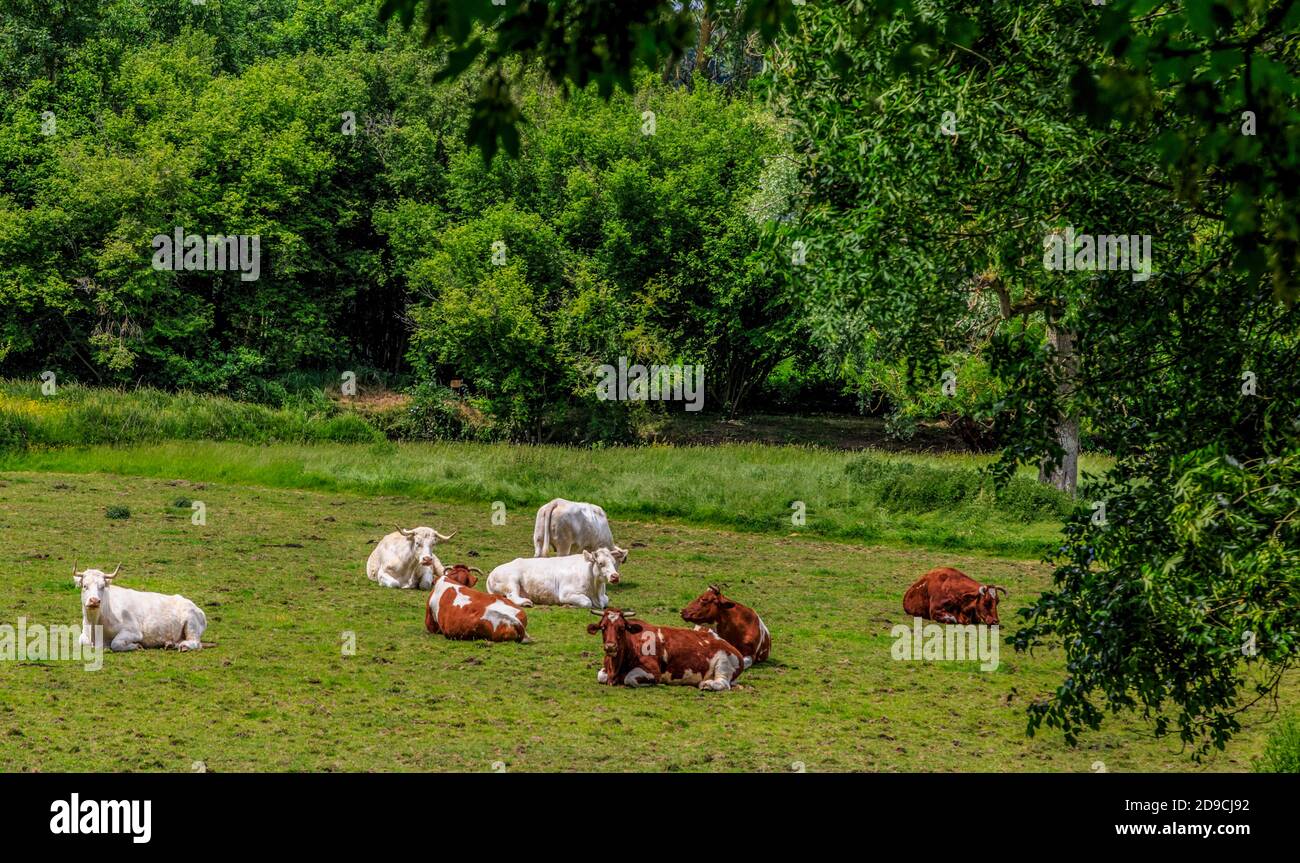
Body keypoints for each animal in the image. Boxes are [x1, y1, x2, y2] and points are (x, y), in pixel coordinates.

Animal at [73, 563, 207, 652]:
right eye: (85, 586)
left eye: (102, 586)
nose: (94, 601)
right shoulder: (84, 635)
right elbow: (82, 641)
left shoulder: (134, 631)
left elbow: (115, 644)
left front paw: (136, 646)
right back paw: (170, 644)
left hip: (191, 624)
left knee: (196, 643)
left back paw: (183, 646)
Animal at [486, 549, 621, 608]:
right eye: (600, 563)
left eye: (614, 562)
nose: (615, 576)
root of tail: (492, 572)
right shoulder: (566, 594)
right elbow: (587, 602)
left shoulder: (604, 598)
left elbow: (606, 601)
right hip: (511, 581)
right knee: (512, 595)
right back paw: (525, 602)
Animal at [586, 608, 744, 691]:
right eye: (603, 627)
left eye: (622, 627)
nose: (610, 646)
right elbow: (600, 675)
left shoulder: (653, 670)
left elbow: (629, 678)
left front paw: (656, 682)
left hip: (723, 661)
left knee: (723, 683)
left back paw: (706, 684)